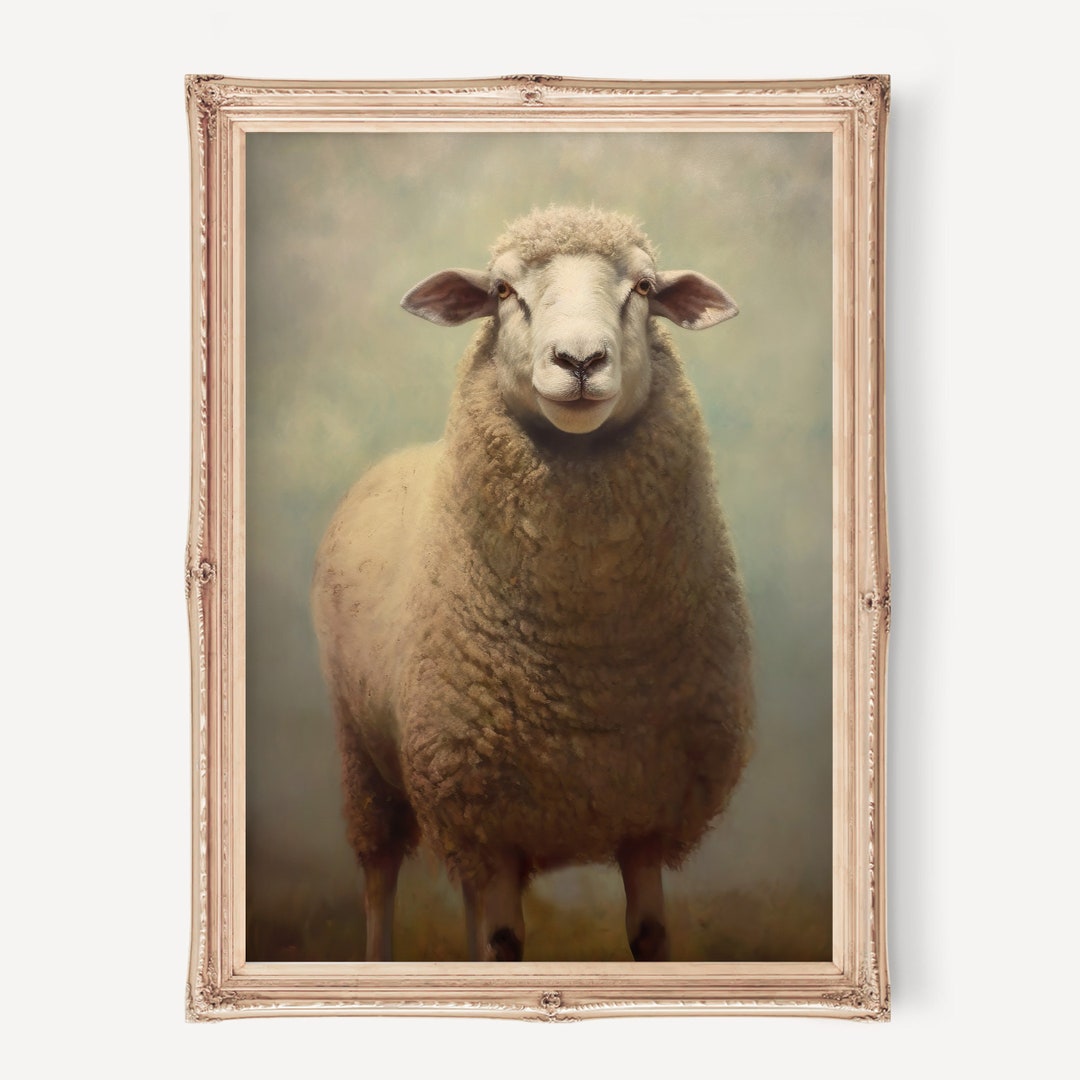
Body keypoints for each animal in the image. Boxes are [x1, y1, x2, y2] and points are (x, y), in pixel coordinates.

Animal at [311, 206, 753, 962]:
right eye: (502, 291)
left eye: (643, 286)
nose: (579, 361)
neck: (586, 659)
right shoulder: (483, 806)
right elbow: (503, 942)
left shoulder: (643, 806)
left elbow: (648, 935)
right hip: (365, 751)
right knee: (378, 870)